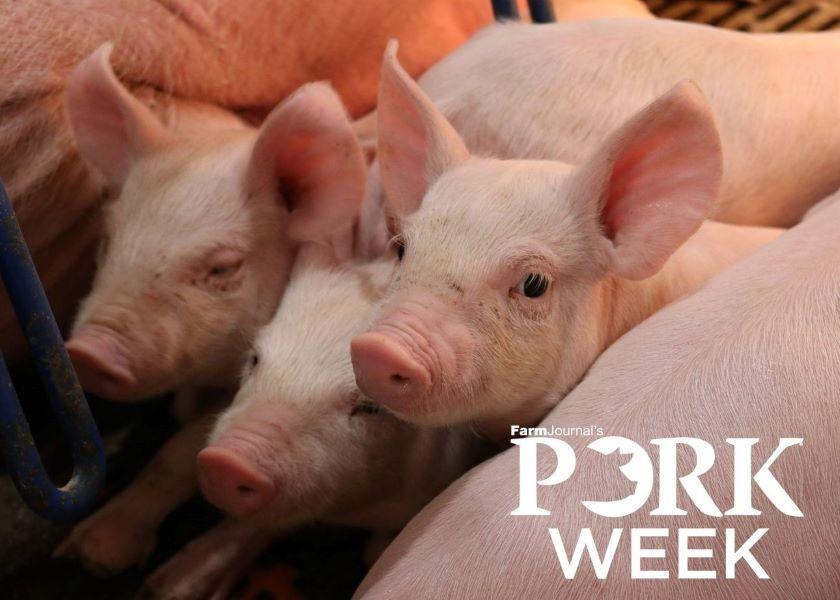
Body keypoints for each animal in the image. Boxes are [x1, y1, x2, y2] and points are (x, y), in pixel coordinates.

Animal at [53, 44, 367, 574]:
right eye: (109, 239)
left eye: (222, 267)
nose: (87, 352)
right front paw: (72, 553)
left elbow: (180, 452)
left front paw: (97, 554)